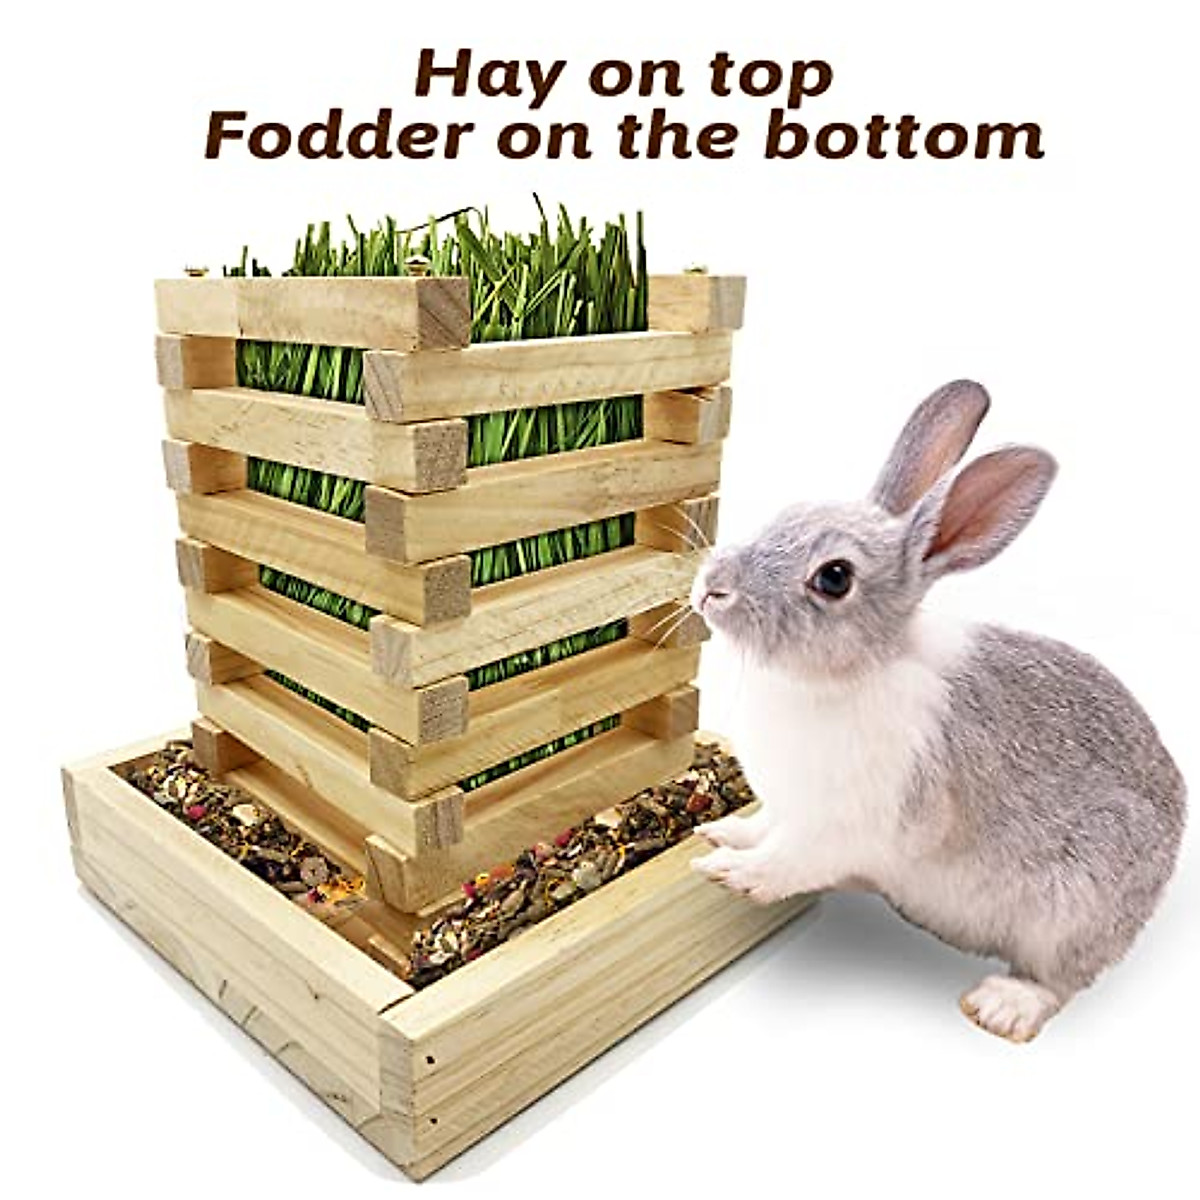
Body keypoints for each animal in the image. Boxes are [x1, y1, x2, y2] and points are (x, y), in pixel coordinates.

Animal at [689, 380, 1186, 1042]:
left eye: (834, 577)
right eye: (786, 515)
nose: (710, 587)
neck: (846, 675)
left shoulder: (846, 826)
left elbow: (790, 860)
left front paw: (730, 873)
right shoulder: (788, 806)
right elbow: (762, 827)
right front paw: (718, 834)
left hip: (1074, 909)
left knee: (1058, 981)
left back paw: (1003, 1007)